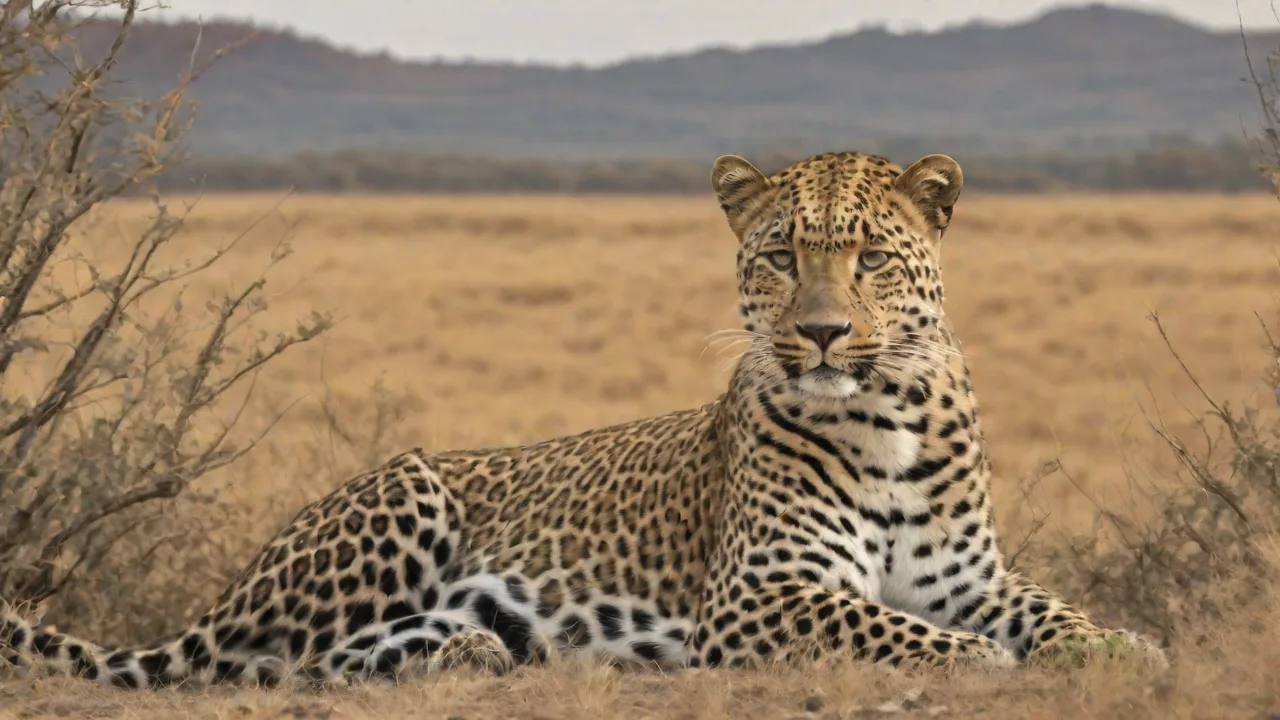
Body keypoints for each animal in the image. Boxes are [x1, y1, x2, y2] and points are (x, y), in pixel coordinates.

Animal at [0, 149, 1167, 690]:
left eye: (870, 256)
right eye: (779, 255)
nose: (825, 333)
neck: (884, 416)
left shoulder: (971, 578)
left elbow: (1052, 611)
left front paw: (1119, 648)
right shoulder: (756, 597)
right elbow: (886, 626)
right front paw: (979, 663)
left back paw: (475, 651)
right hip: (404, 491)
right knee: (269, 661)